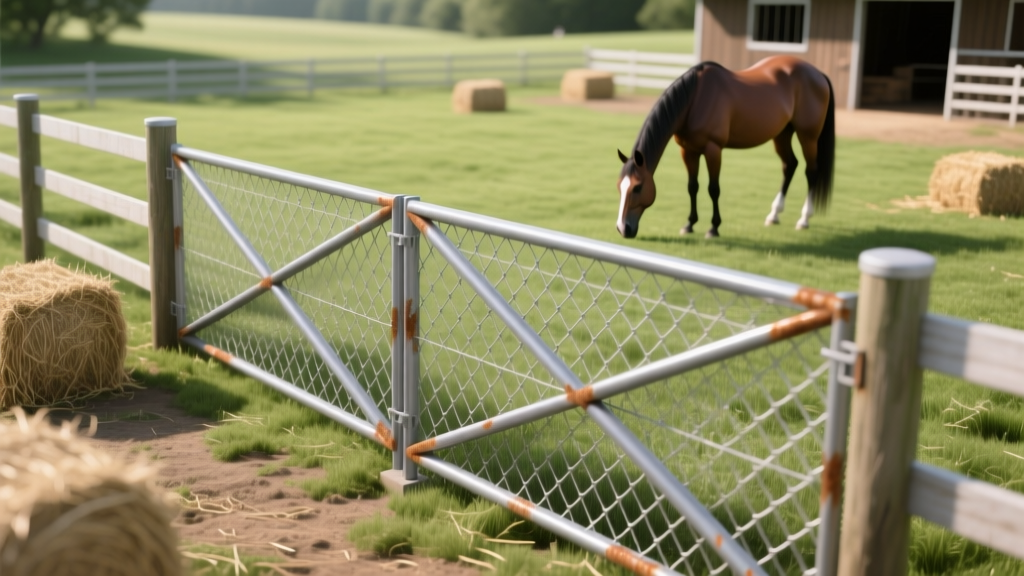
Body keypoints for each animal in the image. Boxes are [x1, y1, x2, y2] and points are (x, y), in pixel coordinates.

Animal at [615, 55, 835, 239]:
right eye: (619, 187)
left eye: (638, 187)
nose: (622, 228)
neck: (694, 99)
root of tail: (817, 73)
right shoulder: (688, 151)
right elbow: (692, 187)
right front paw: (689, 224)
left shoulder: (713, 150)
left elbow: (713, 189)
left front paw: (713, 228)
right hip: (782, 134)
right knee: (790, 165)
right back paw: (773, 215)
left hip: (808, 136)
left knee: (811, 171)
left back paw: (804, 219)